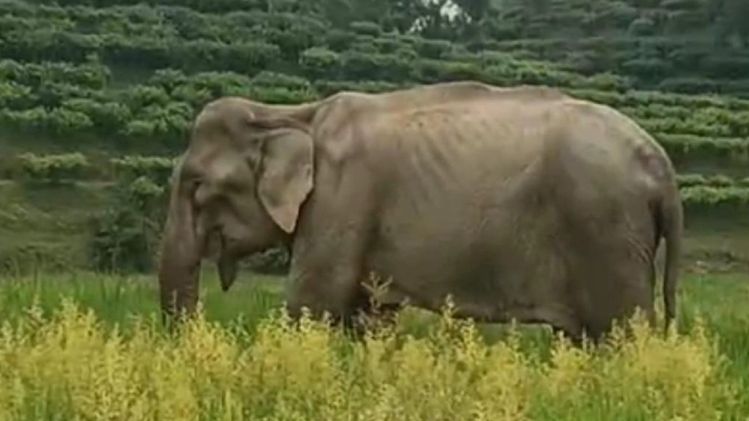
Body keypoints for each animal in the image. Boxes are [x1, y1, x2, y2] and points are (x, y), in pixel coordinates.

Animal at [157, 80, 683, 343]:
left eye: (197, 185)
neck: (289, 113)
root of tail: (660, 163)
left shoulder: (343, 197)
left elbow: (313, 303)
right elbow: (368, 315)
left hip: (606, 229)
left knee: (620, 333)